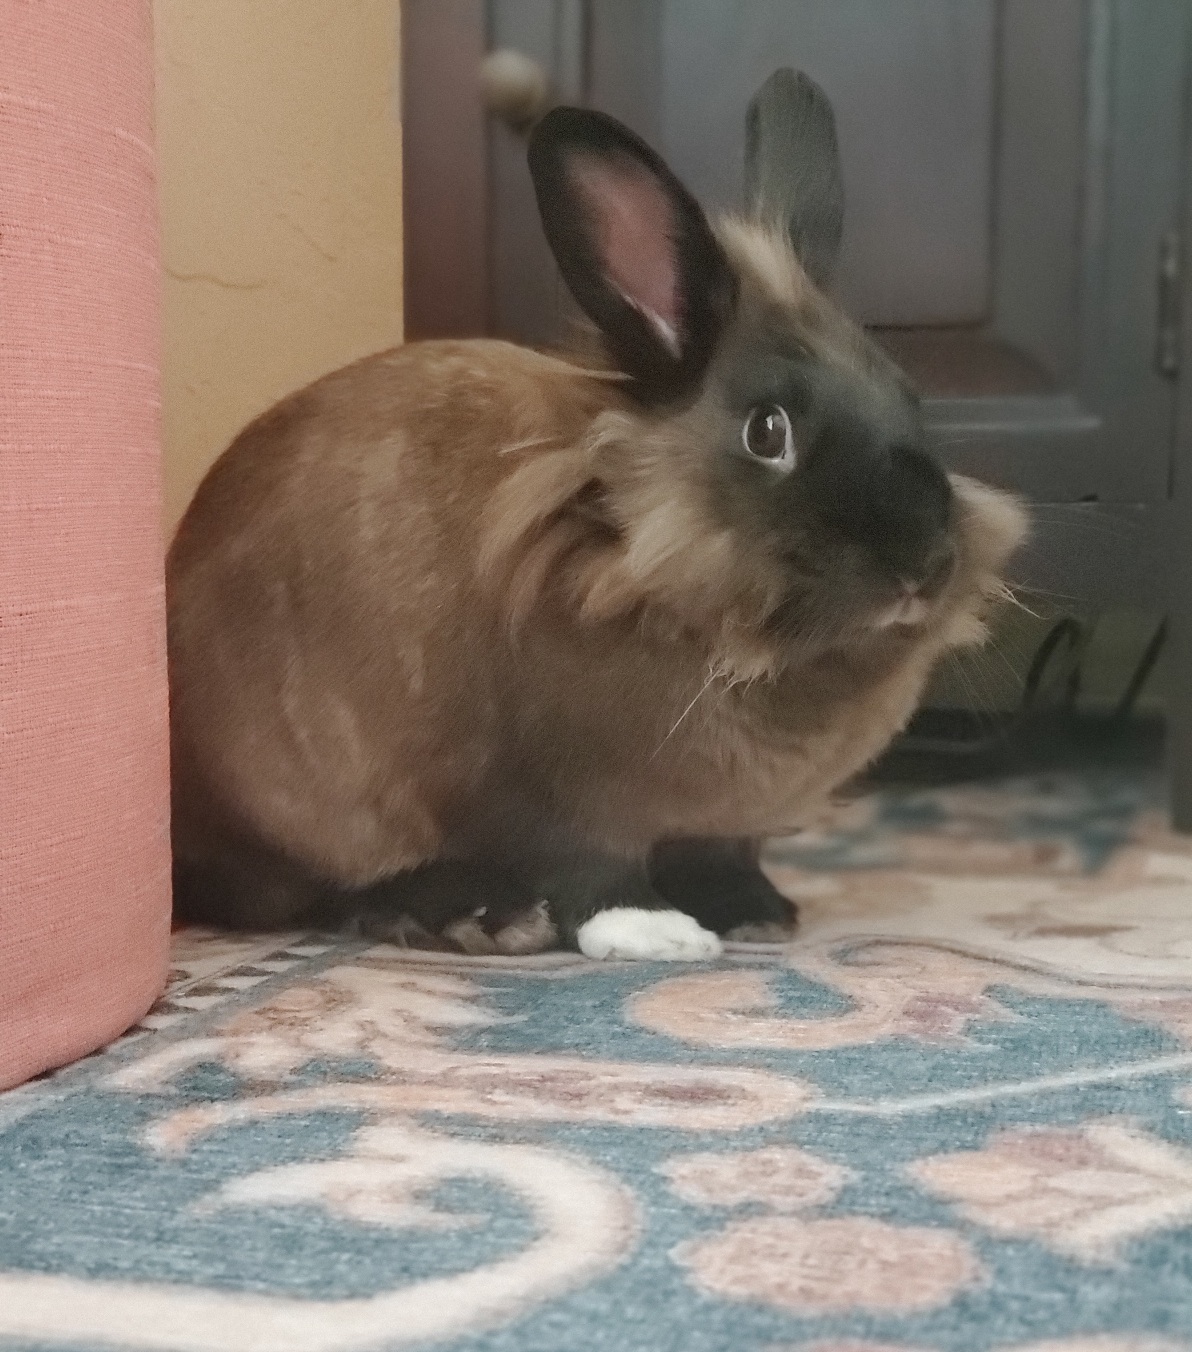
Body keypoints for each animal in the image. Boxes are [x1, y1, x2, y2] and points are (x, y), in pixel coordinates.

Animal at [167, 68, 1027, 962]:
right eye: (768, 431)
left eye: (909, 399)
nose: (921, 566)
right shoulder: (536, 796)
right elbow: (583, 866)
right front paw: (656, 933)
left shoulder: (720, 825)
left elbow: (722, 858)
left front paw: (756, 912)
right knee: (316, 890)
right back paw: (484, 916)